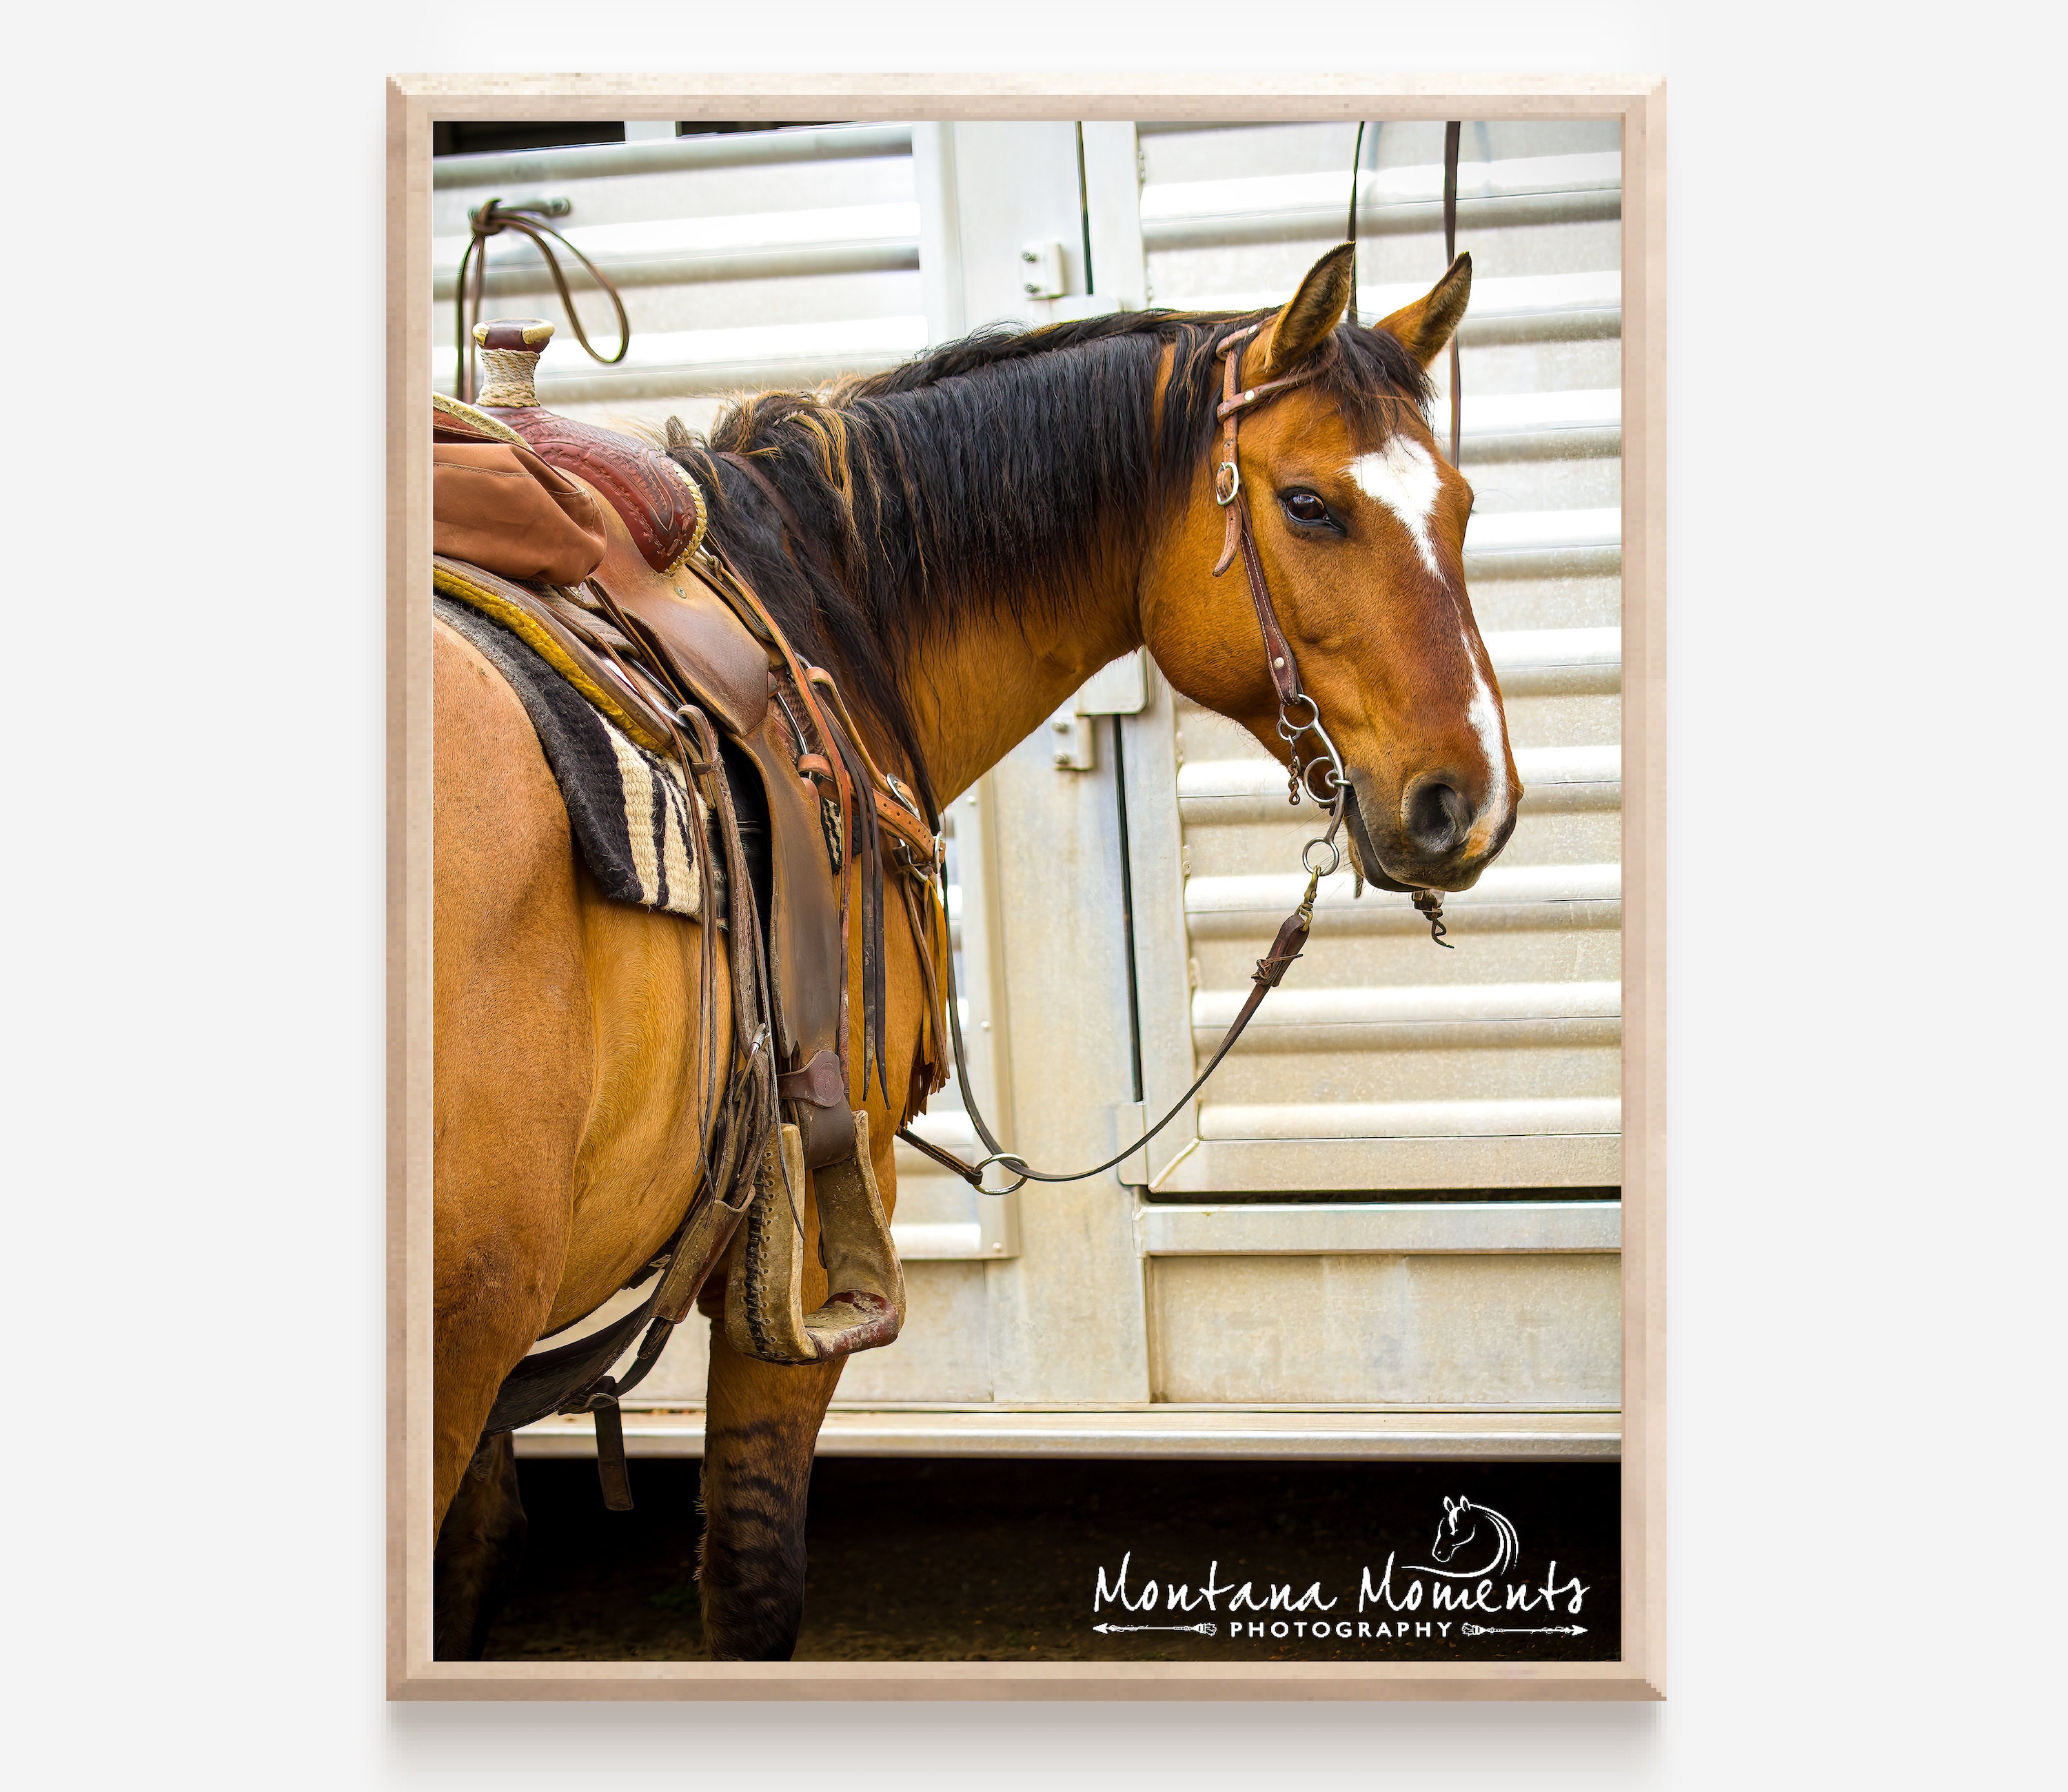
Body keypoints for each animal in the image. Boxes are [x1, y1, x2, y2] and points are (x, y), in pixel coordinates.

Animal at [430, 239, 1521, 1660]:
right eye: (1309, 505)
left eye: (1462, 506)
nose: (1472, 801)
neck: (815, 611)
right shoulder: (802, 1273)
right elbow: (752, 1583)